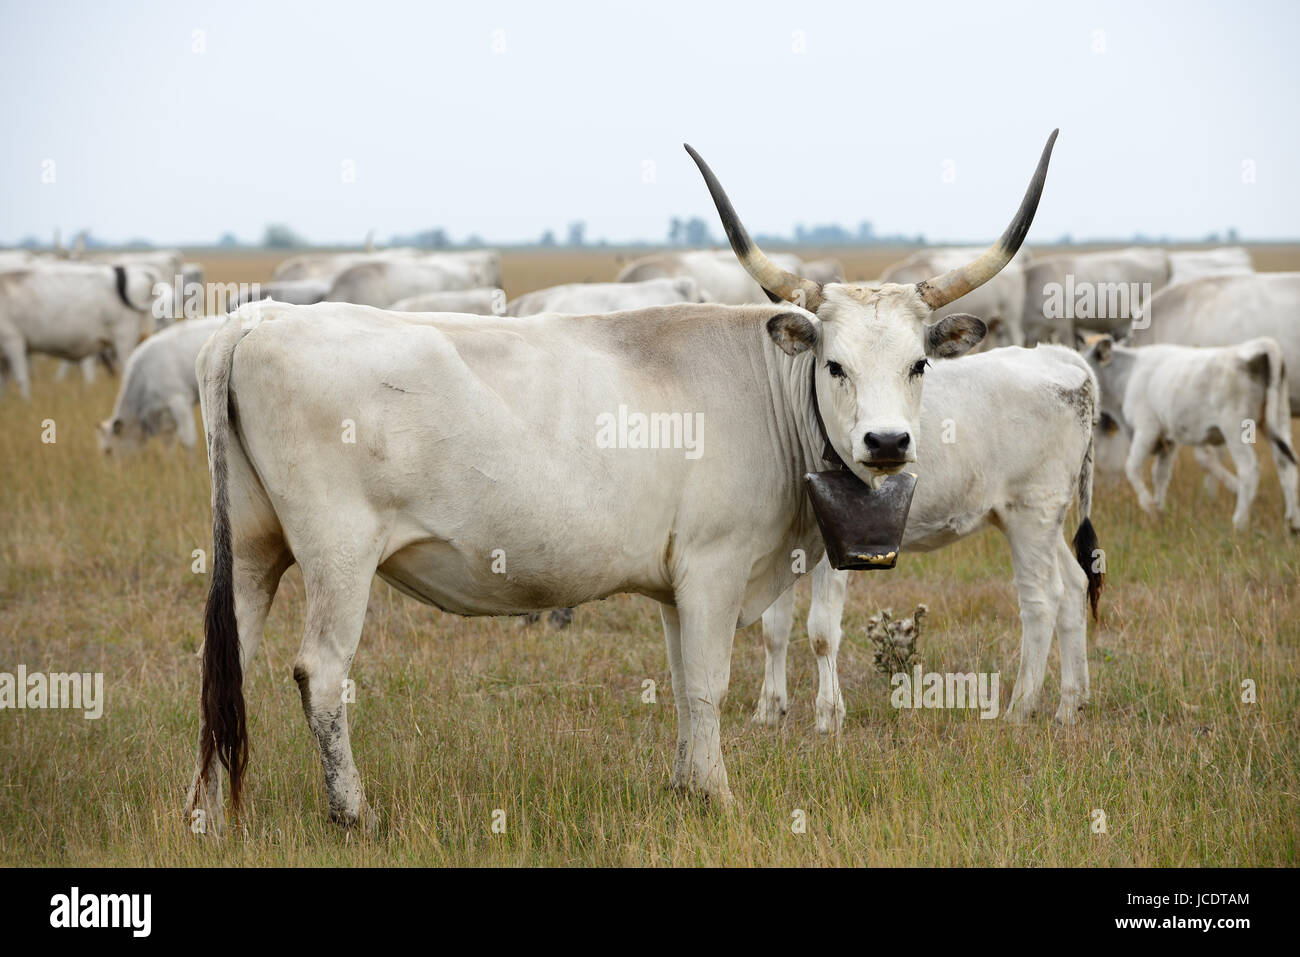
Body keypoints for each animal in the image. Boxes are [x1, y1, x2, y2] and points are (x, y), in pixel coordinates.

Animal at [755, 344, 1101, 732]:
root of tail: (1056, 355)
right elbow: (773, 628)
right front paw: (768, 712)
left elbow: (821, 632)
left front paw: (829, 718)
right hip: (1038, 520)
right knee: (1074, 586)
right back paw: (1070, 706)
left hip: (1033, 511)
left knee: (1042, 598)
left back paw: (1019, 709)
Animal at [1079, 334, 1299, 532]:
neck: (1128, 374)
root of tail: (1259, 347)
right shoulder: (1168, 441)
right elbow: (1160, 474)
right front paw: (1159, 509)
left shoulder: (1147, 430)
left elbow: (1132, 467)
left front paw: (1150, 506)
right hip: (1277, 423)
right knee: (1286, 464)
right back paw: (1293, 523)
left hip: (1236, 429)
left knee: (1249, 469)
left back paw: (1239, 523)